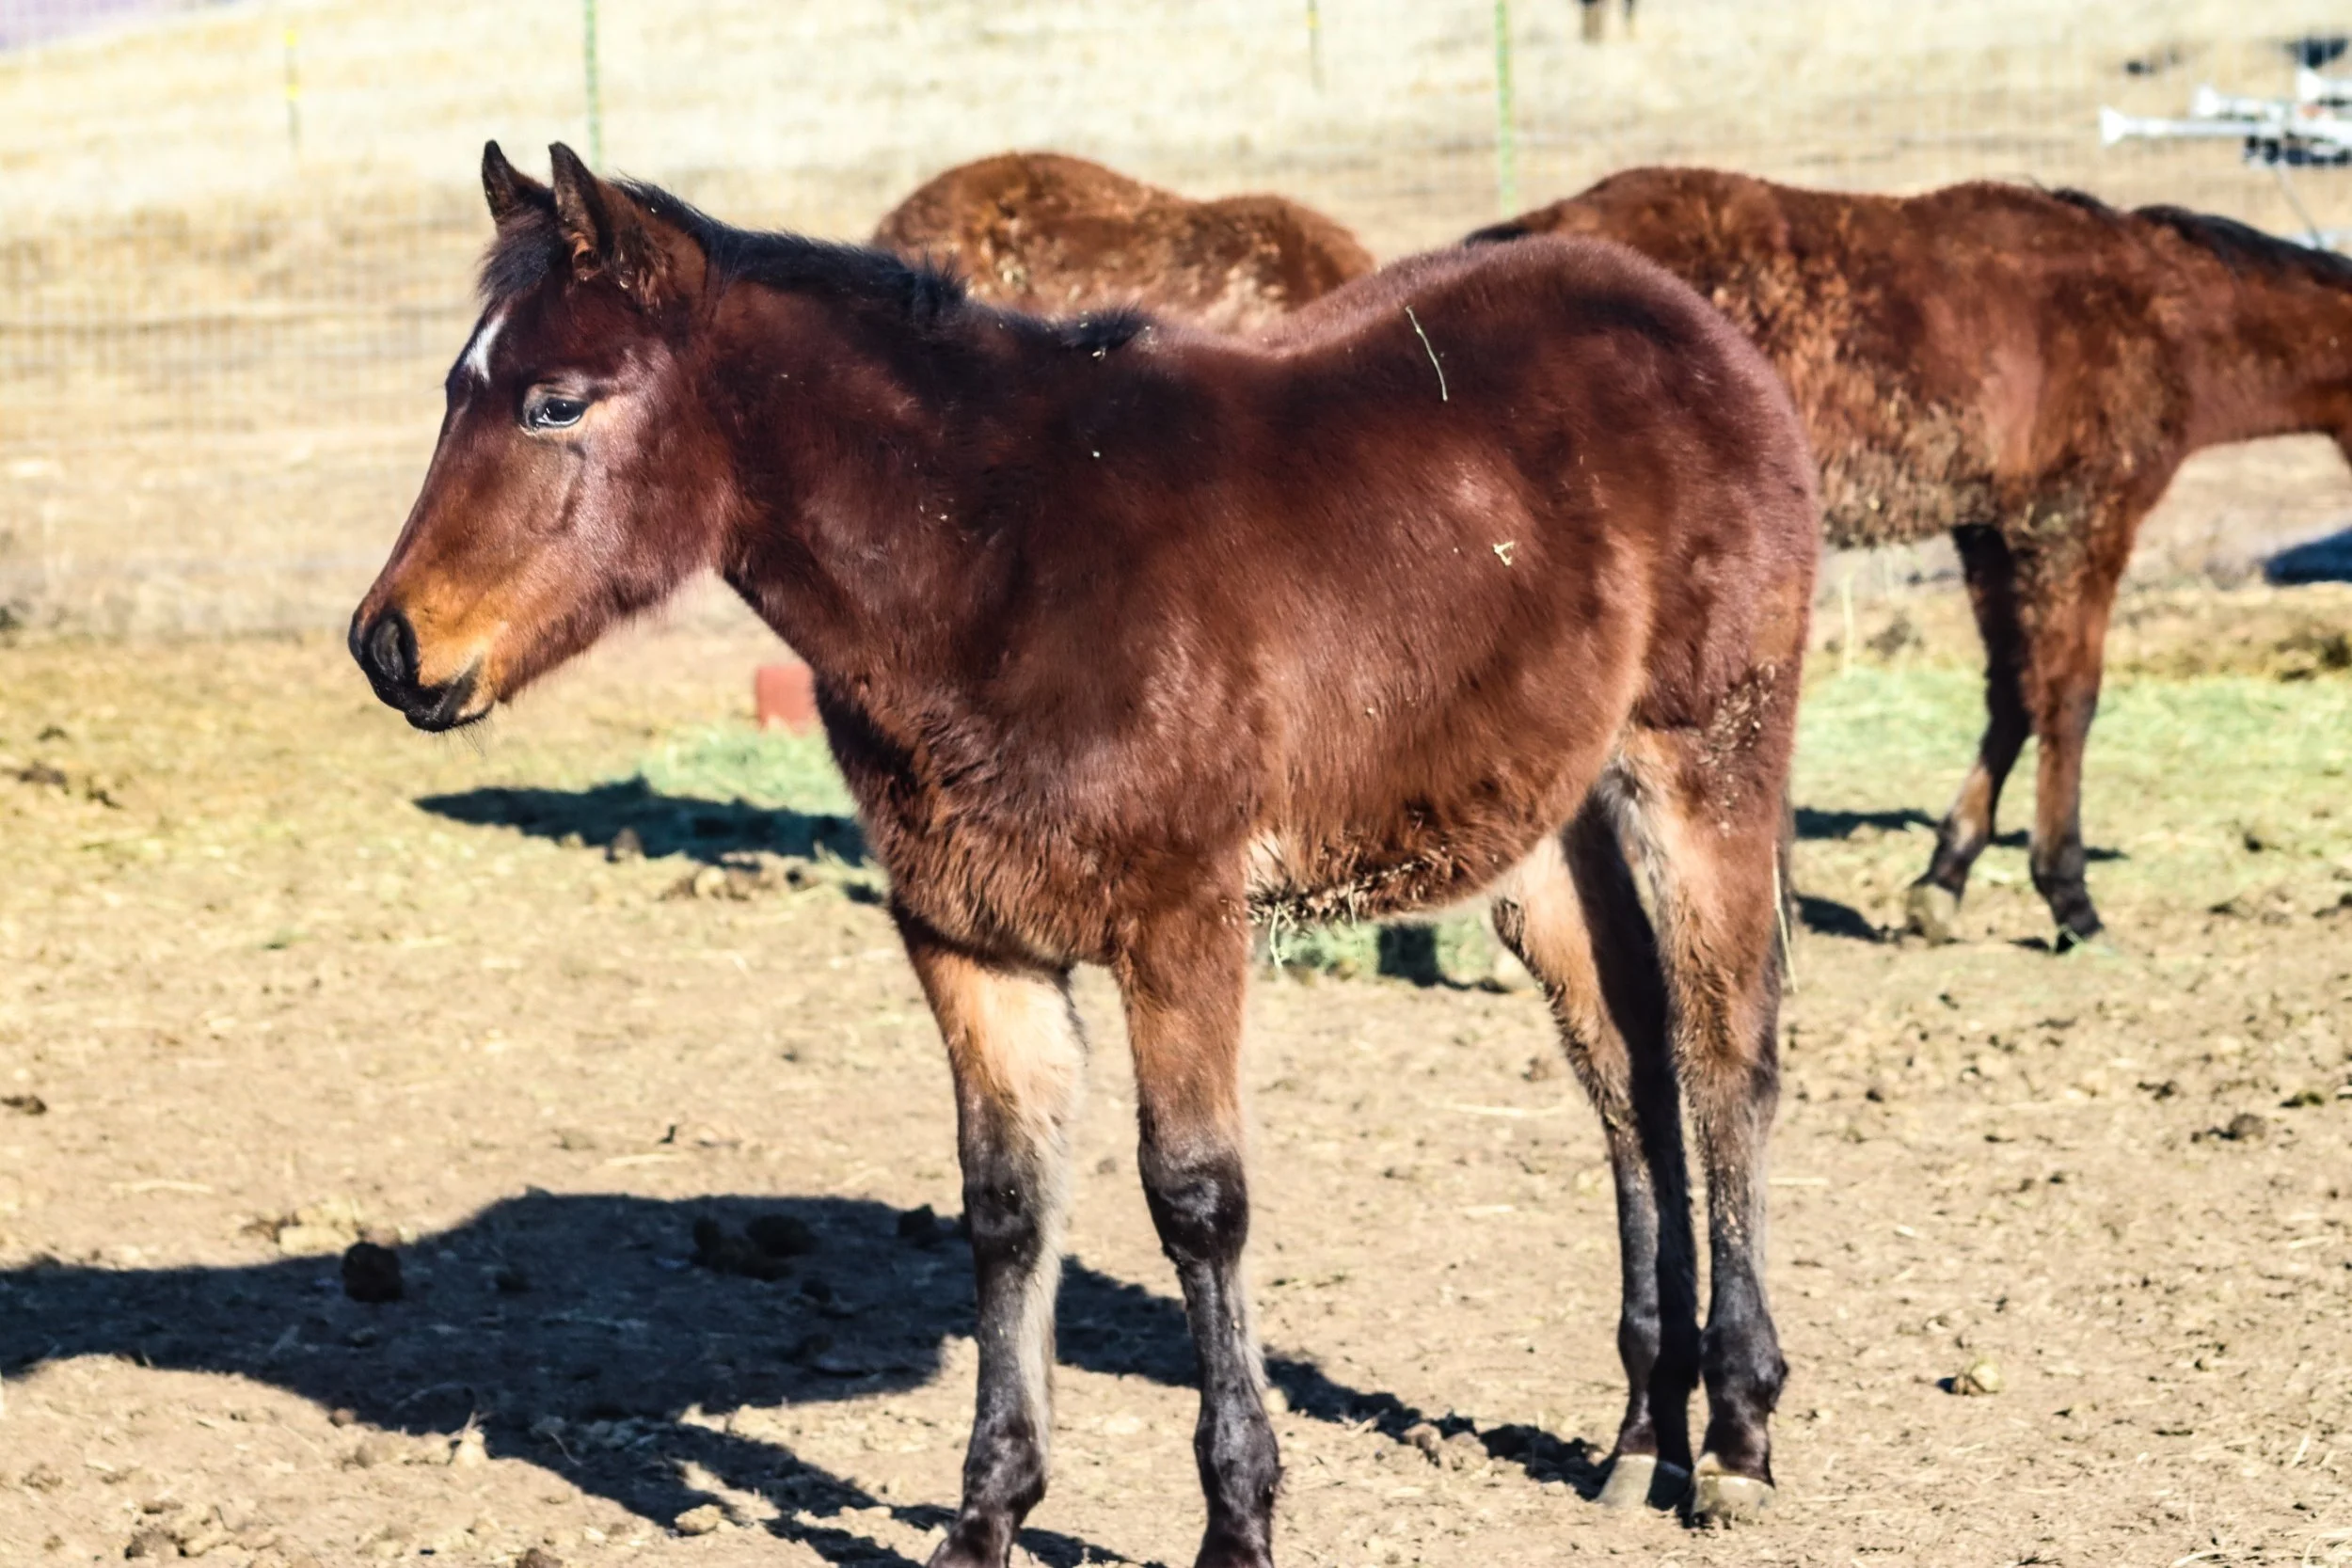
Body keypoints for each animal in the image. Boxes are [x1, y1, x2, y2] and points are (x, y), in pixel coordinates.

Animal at [1471, 166, 2352, 946]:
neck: (2160, 315)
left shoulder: (1989, 529)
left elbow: (2011, 694)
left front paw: (1944, 878)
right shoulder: (2075, 526)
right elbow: (2069, 700)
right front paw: (2070, 895)